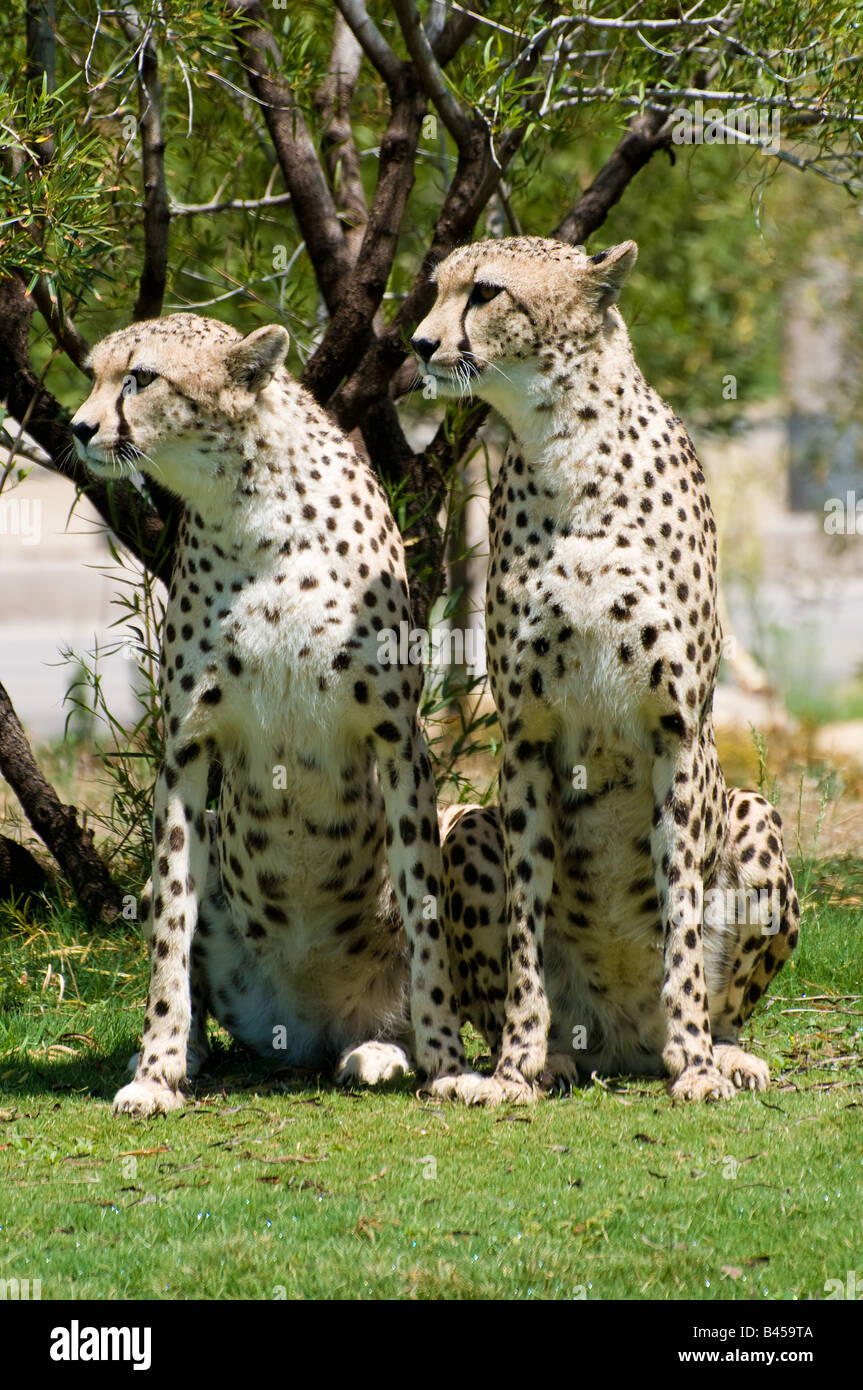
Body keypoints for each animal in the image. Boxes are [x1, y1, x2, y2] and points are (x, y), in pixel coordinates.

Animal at [71, 311, 479, 1116]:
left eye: (140, 378)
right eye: (95, 372)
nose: (77, 427)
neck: (250, 507)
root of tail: (311, 1030)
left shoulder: (399, 738)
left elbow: (424, 911)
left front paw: (449, 1063)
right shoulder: (185, 750)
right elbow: (170, 925)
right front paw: (156, 1071)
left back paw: (385, 1051)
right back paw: (191, 1054)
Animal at [413, 236, 800, 1106]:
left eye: (485, 293)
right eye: (436, 287)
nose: (417, 344)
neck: (566, 446)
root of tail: (621, 1043)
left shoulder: (674, 732)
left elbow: (680, 915)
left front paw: (695, 1064)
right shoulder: (524, 739)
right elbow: (525, 927)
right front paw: (515, 1067)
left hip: (755, 813)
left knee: (724, 996)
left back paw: (720, 1051)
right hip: (468, 829)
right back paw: (556, 1055)